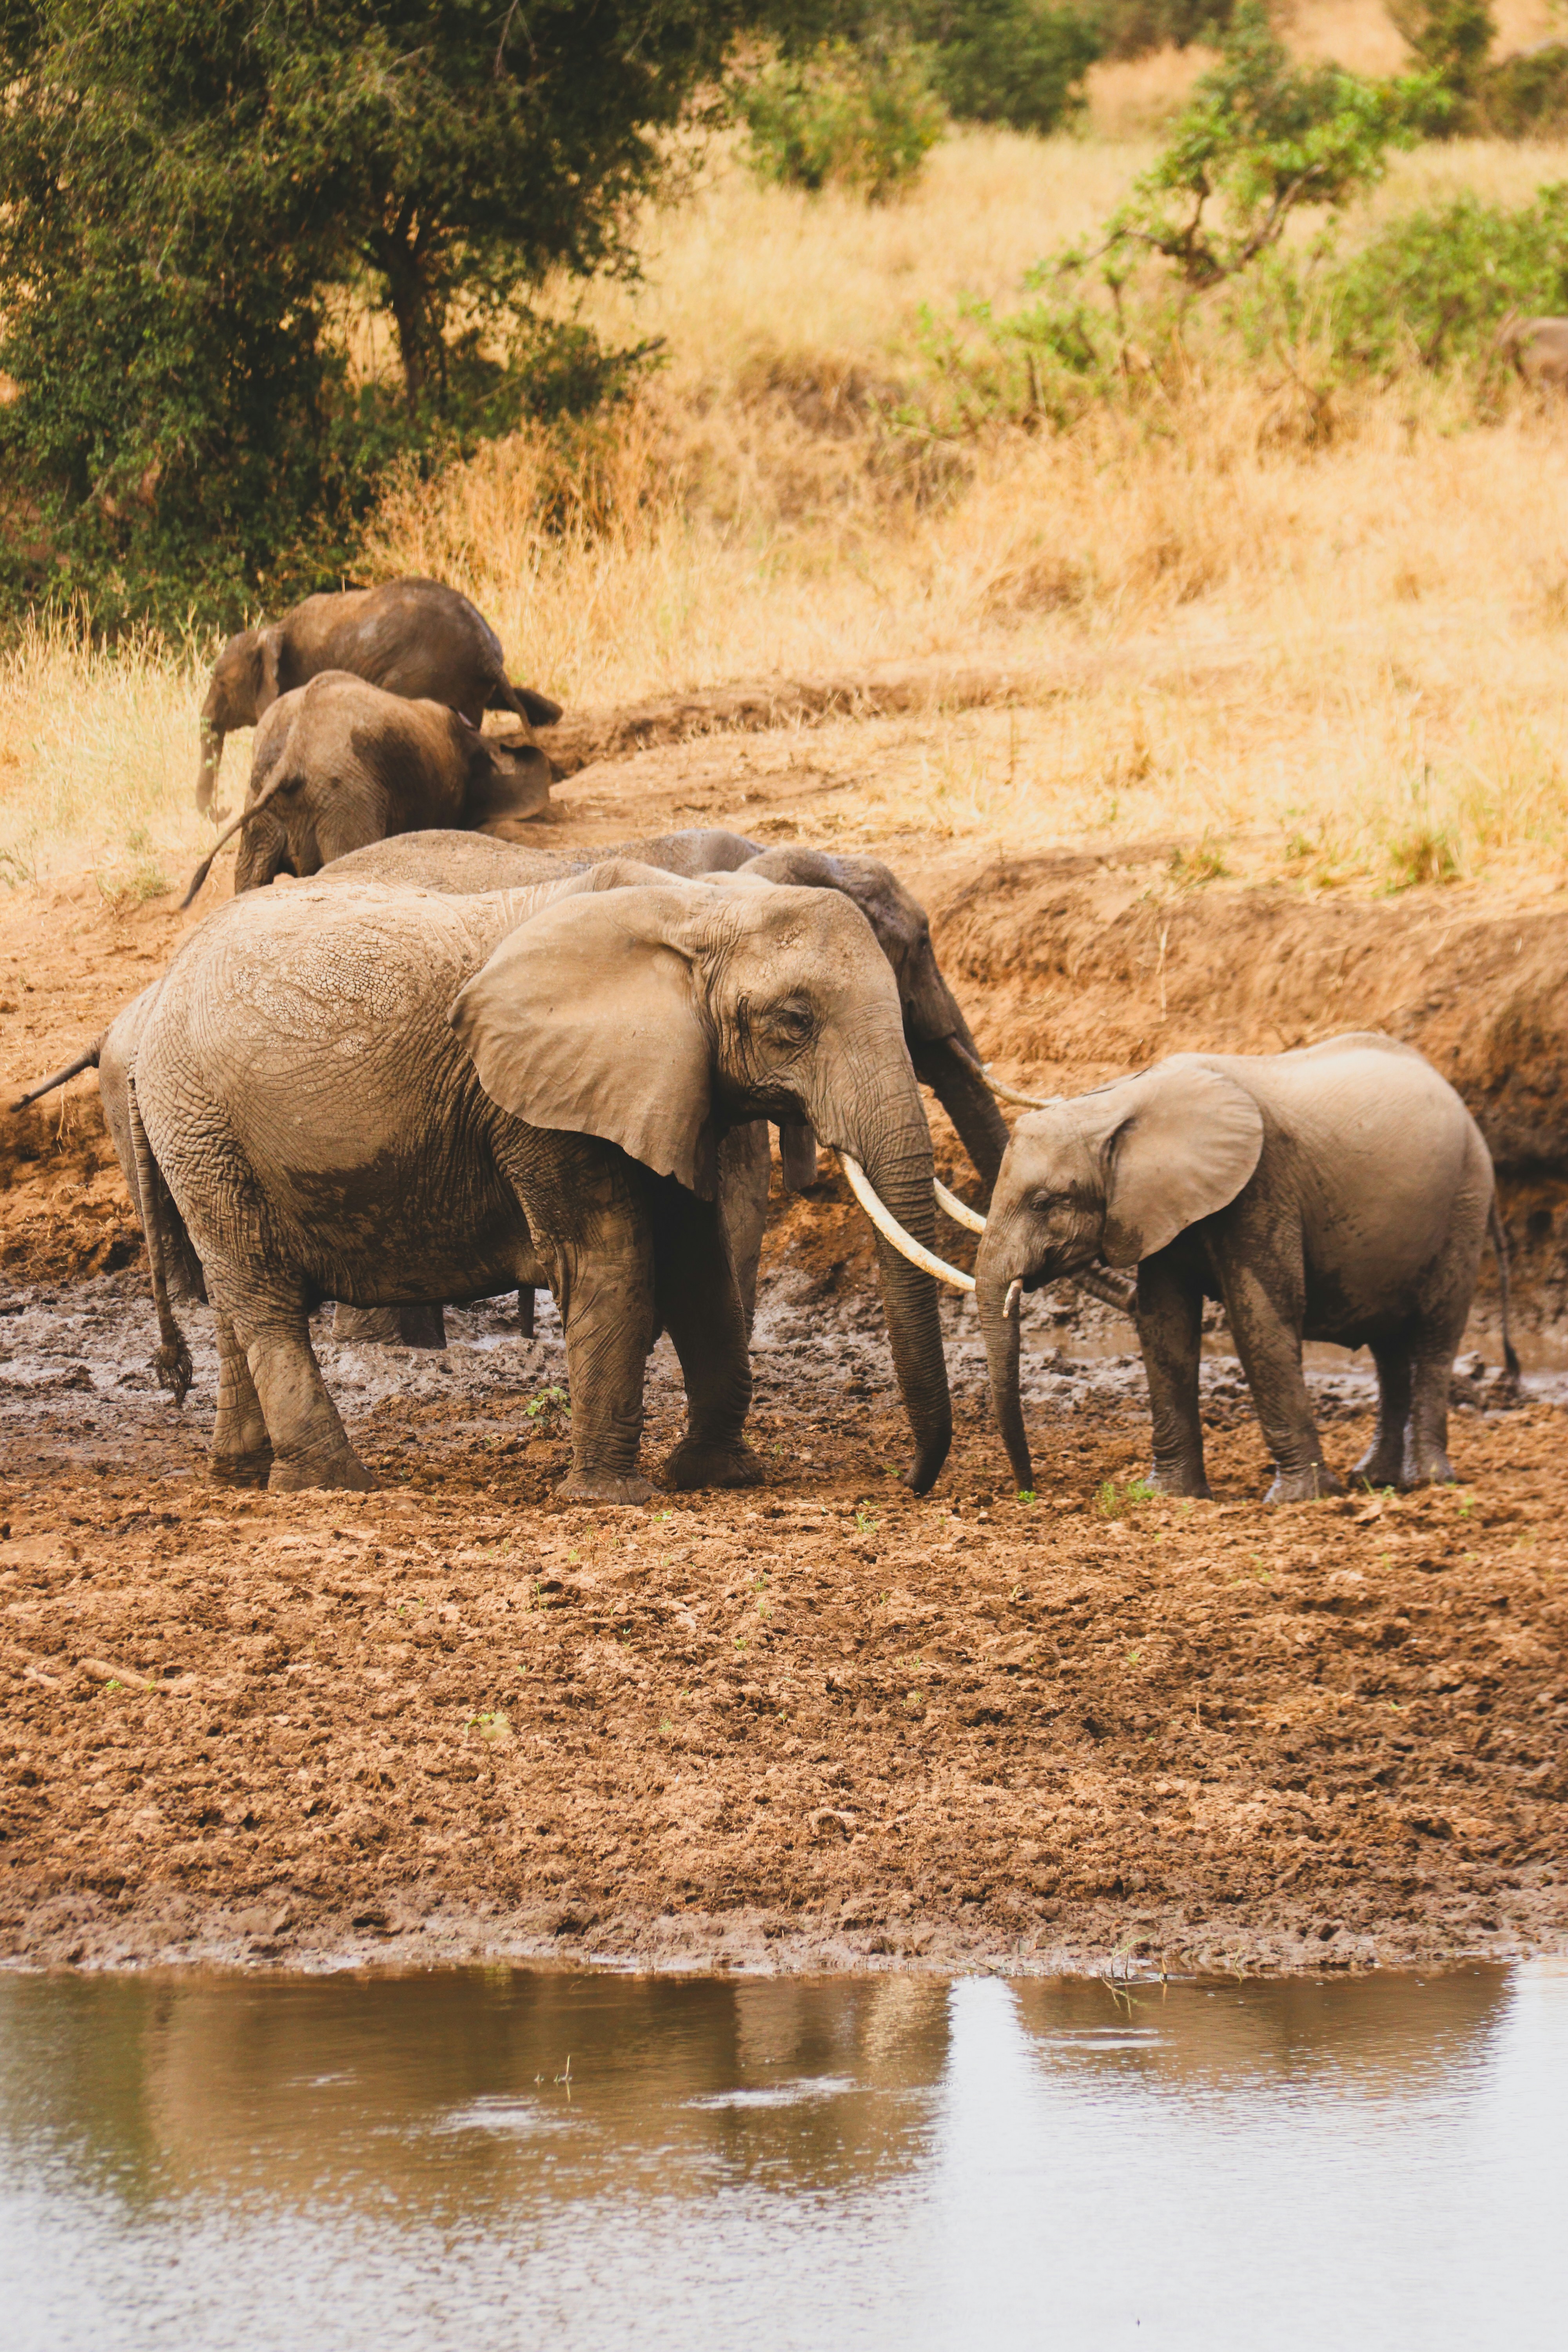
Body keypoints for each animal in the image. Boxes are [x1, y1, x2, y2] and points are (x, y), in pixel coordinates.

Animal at [130, 868, 955, 1502]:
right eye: (795, 1021)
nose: (909, 1481)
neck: (693, 907)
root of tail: (155, 993)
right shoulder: (537, 1104)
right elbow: (609, 1262)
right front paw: (609, 1498)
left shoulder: (660, 1082)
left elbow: (700, 1272)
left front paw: (716, 1476)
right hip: (200, 1118)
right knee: (263, 1296)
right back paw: (332, 1483)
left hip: (202, 1132)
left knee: (236, 1294)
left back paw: (240, 1475)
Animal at [970, 1034, 1514, 1506]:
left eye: (1043, 1203)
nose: (1029, 1490)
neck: (1119, 1102)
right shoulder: (1155, 1208)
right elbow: (1164, 1325)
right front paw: (1168, 1496)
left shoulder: (1262, 1185)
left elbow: (1261, 1319)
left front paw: (1298, 1500)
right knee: (1390, 1349)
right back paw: (1374, 1480)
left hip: (1465, 1200)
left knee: (1434, 1337)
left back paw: (1427, 1482)